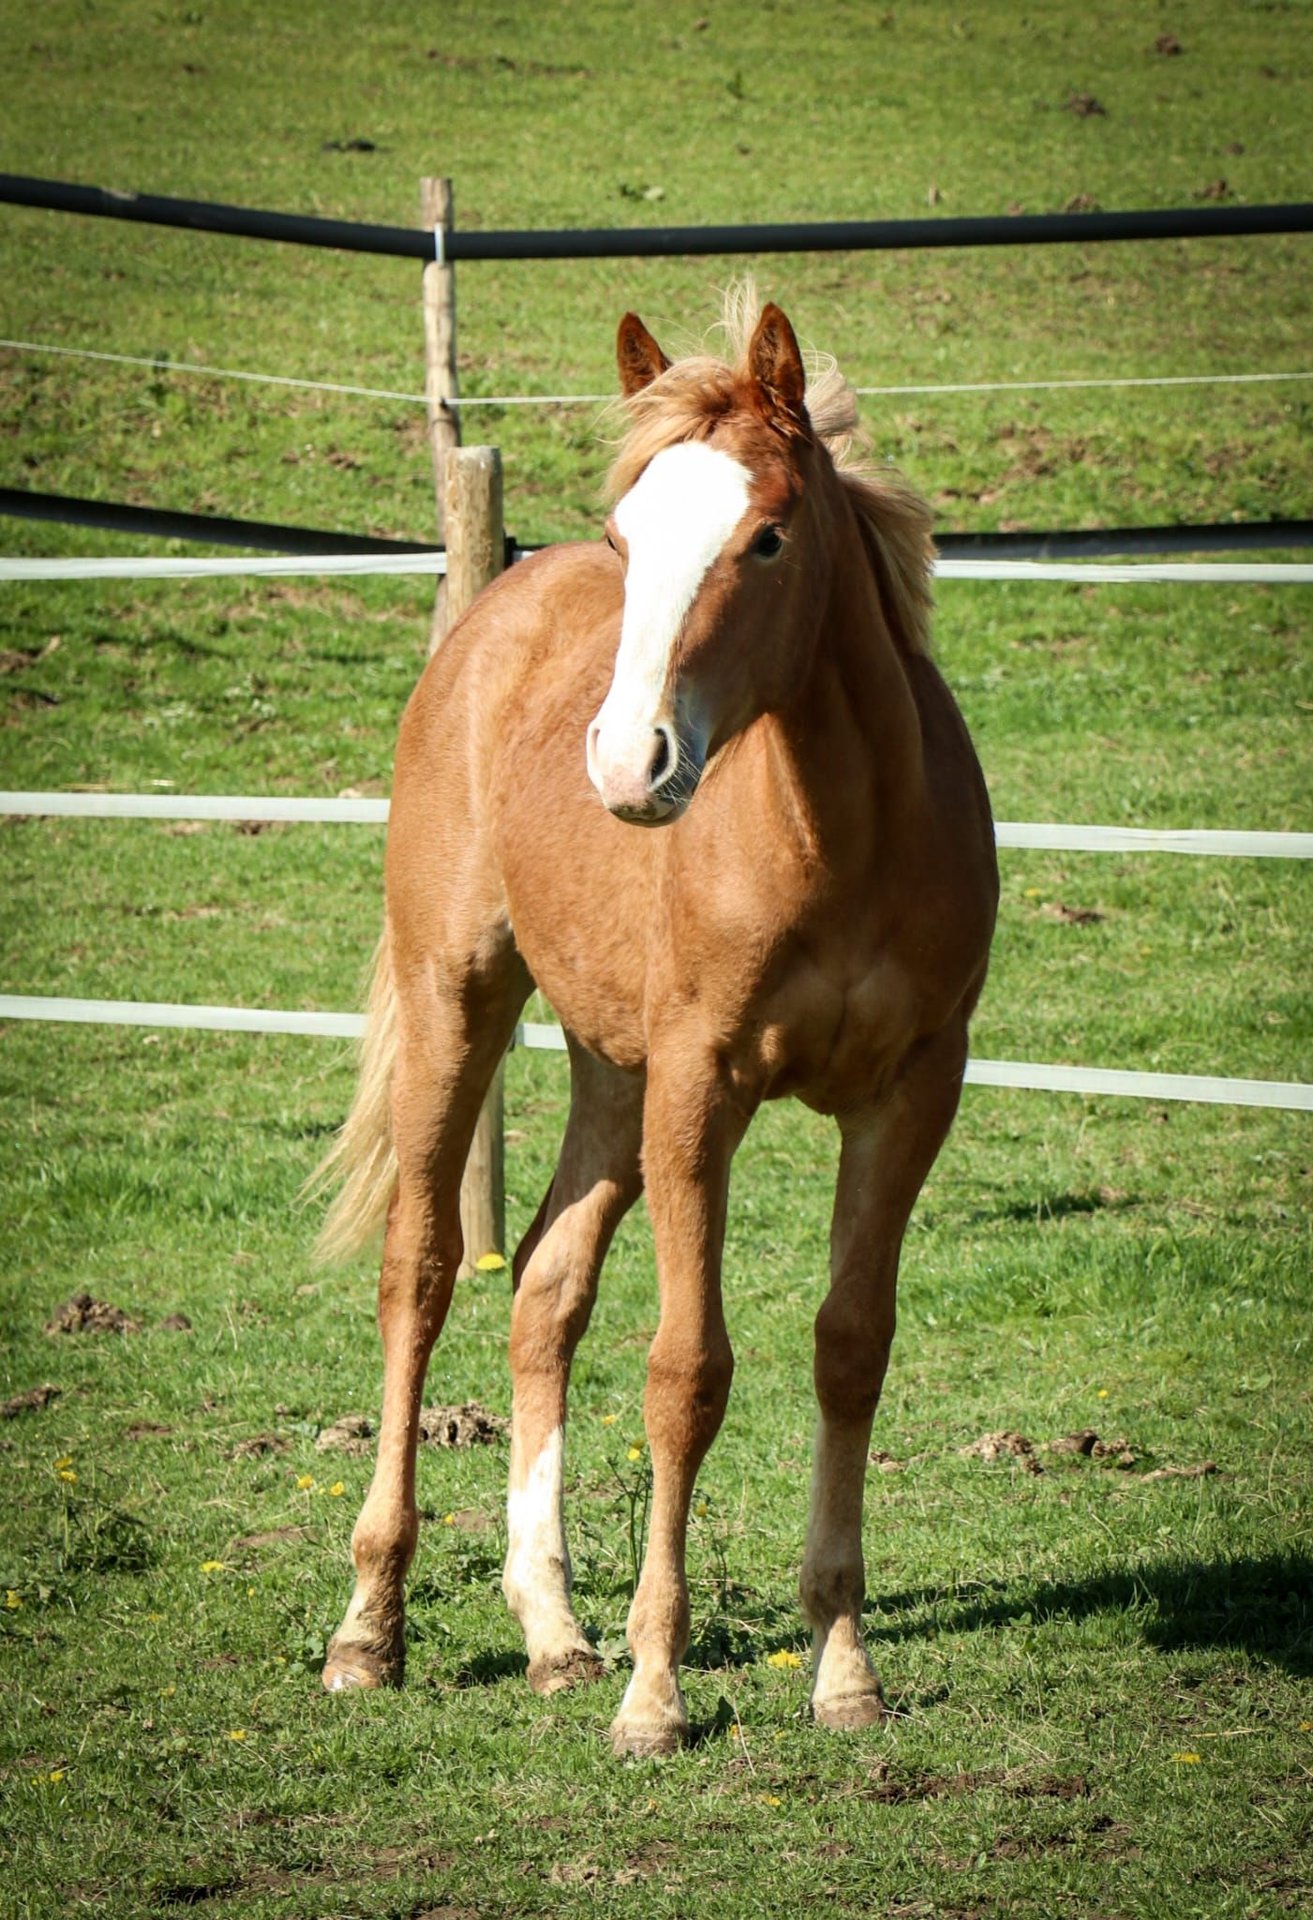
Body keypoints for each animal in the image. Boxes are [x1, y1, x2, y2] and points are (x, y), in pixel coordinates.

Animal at [311, 287, 998, 1756]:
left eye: (767, 535)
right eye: (631, 536)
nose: (629, 763)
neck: (838, 833)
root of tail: (489, 612)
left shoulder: (910, 1092)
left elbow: (850, 1349)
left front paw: (841, 1670)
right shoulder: (702, 1089)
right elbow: (687, 1374)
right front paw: (655, 1693)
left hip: (608, 1072)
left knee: (544, 1288)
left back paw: (552, 1633)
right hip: (460, 1003)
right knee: (421, 1273)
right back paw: (368, 1631)